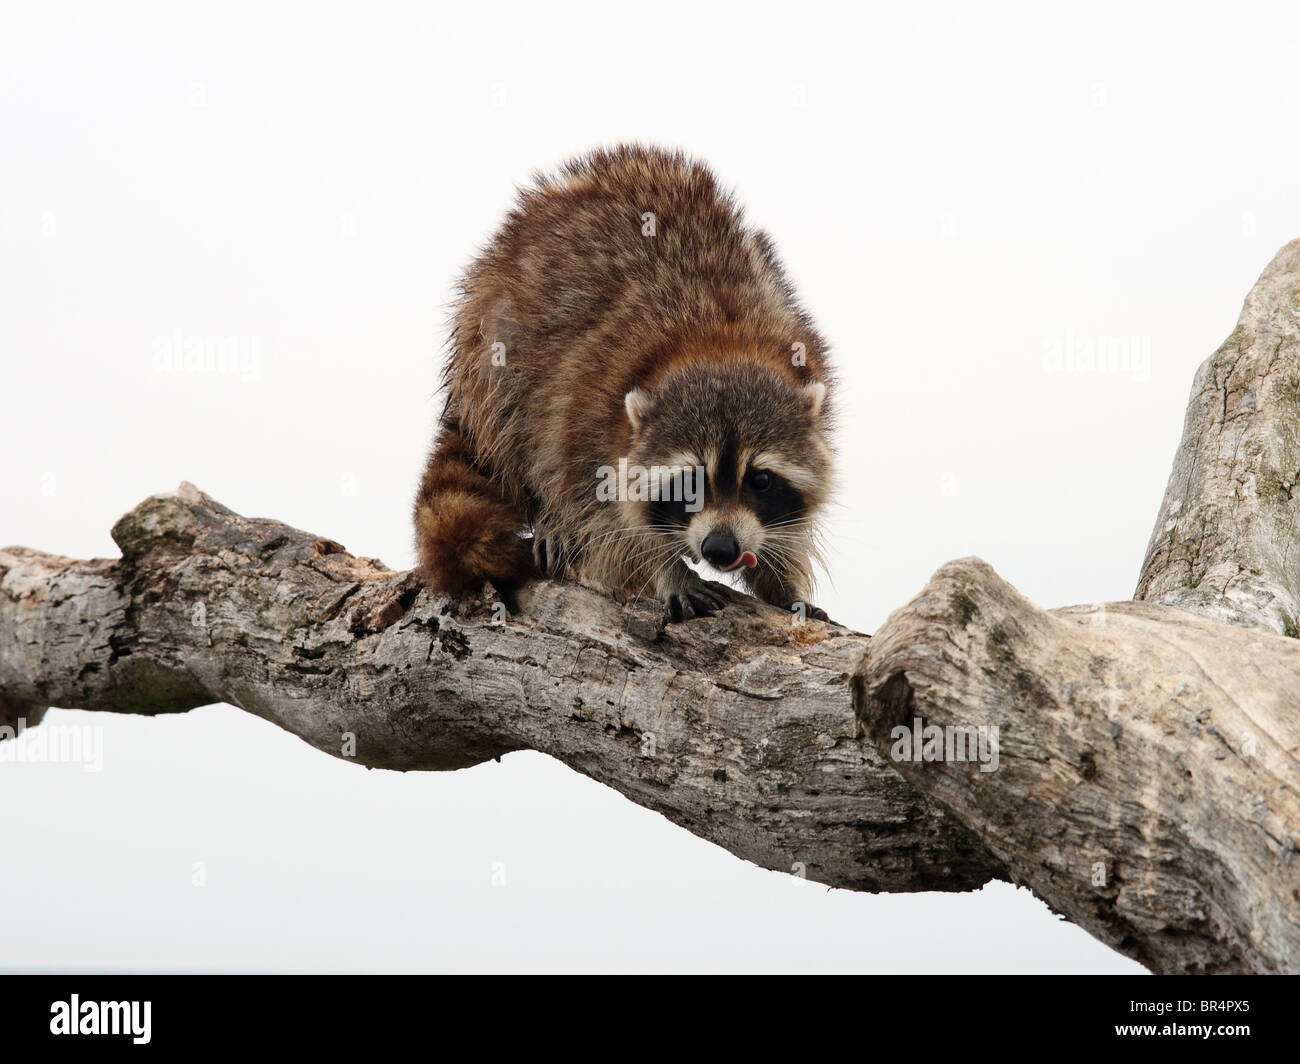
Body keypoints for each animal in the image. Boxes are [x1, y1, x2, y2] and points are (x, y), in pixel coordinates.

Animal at [414, 145, 835, 622]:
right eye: (689, 482)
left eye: (760, 480)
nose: (720, 548)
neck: (721, 345)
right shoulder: (588, 407)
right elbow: (604, 519)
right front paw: (665, 567)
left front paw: (782, 581)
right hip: (494, 342)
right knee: (520, 428)